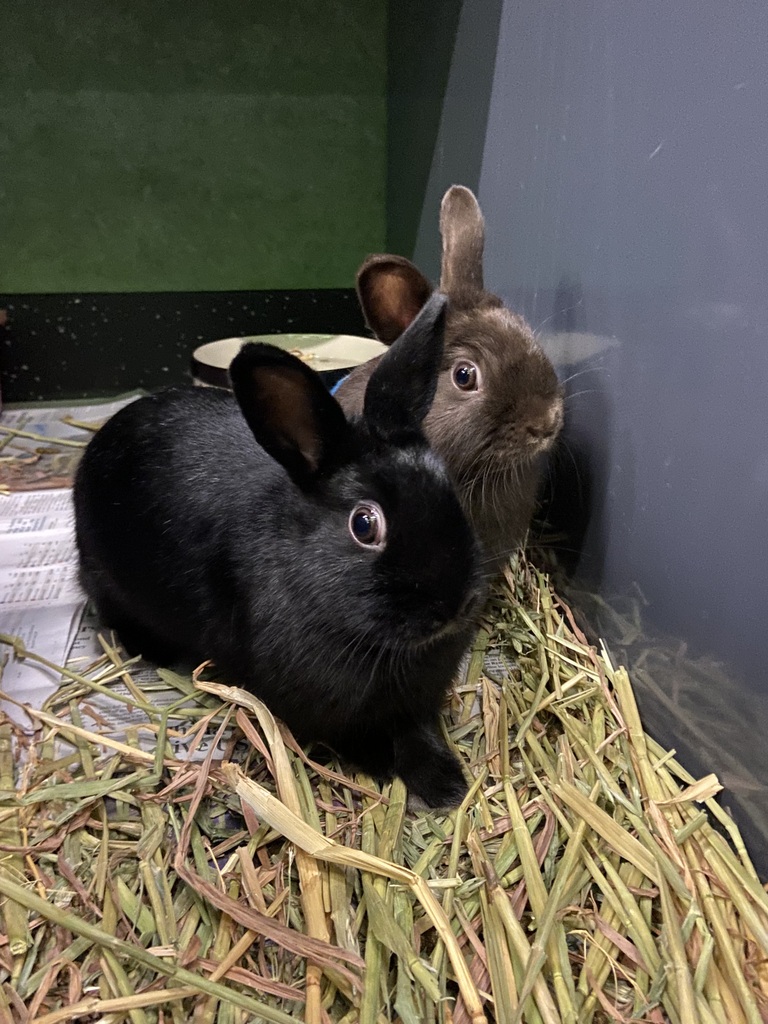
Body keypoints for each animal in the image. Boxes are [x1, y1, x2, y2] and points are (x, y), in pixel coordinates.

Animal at [73, 293, 485, 808]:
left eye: (450, 490)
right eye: (364, 524)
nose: (455, 606)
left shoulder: (417, 702)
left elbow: (420, 733)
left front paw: (449, 782)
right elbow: (363, 738)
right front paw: (395, 768)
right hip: (104, 577)